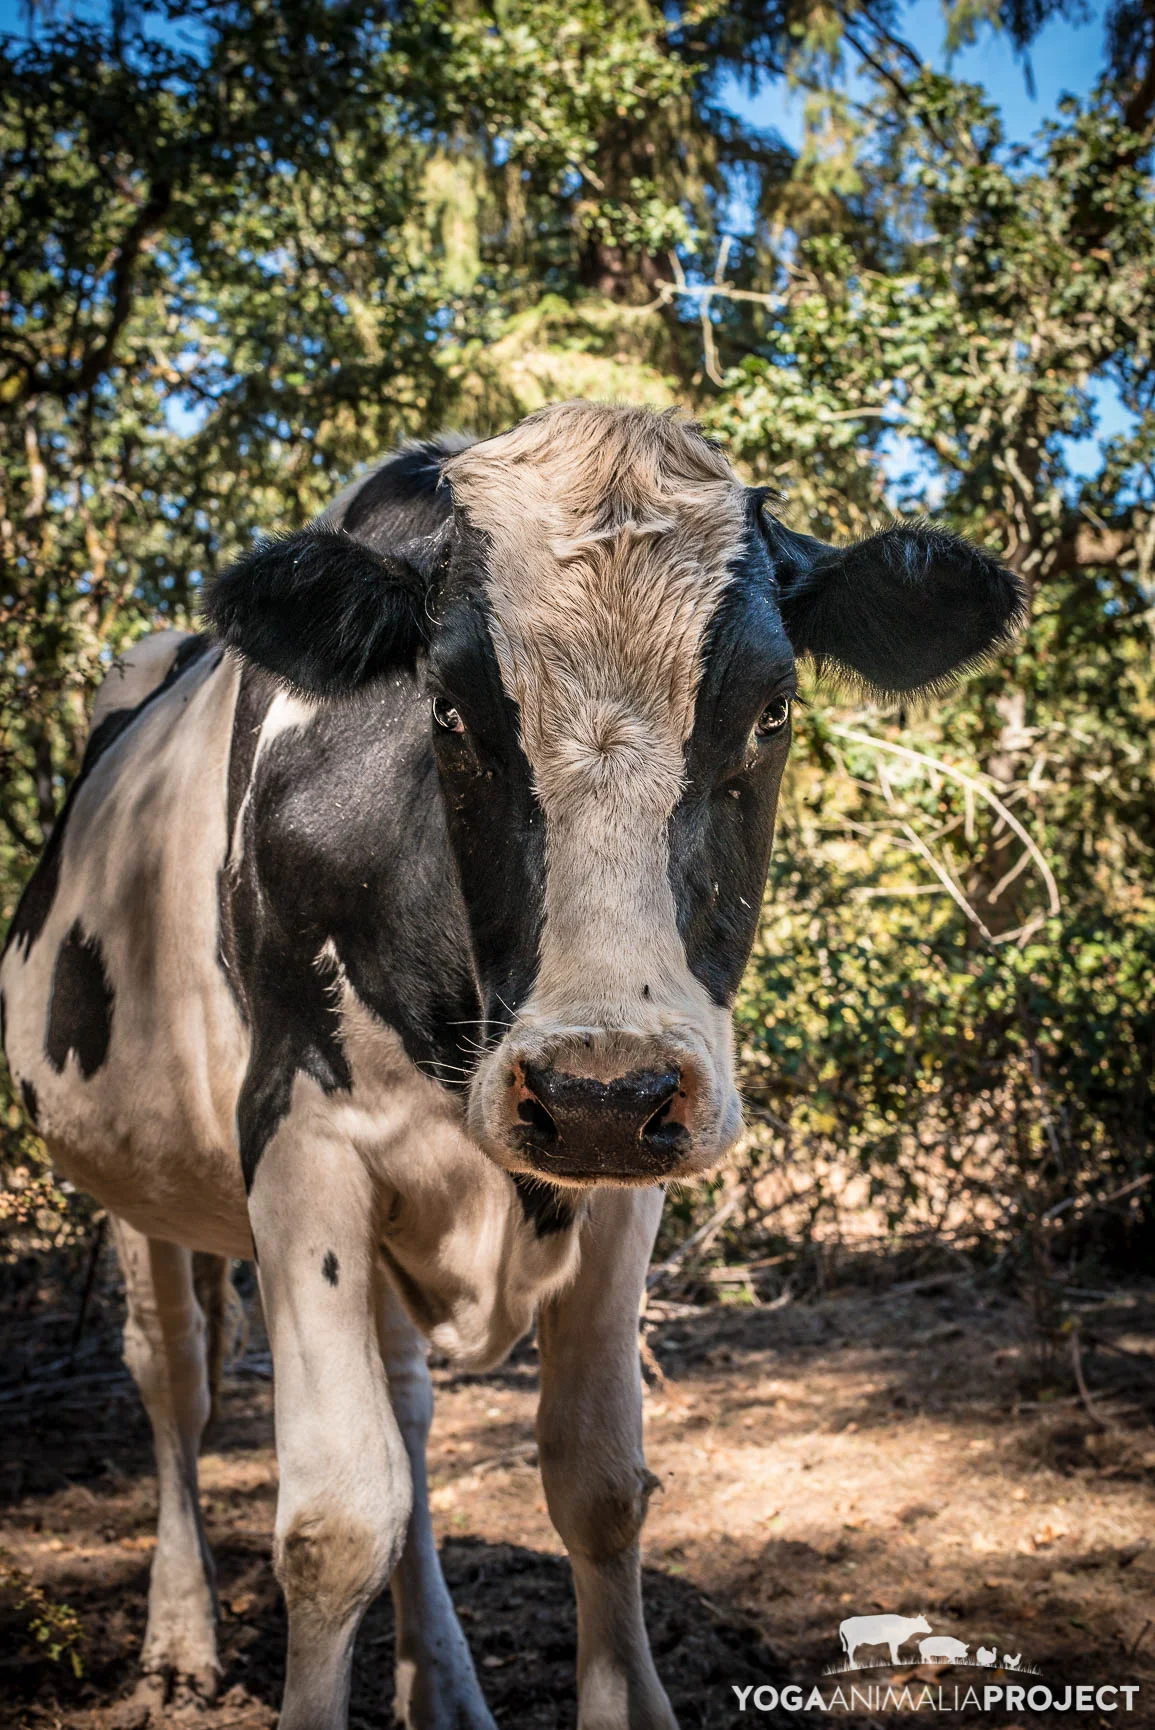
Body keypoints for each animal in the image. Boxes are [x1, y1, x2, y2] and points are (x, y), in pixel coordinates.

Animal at [0, 401, 1023, 1729]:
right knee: (172, 1370)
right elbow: (334, 1518)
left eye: (772, 710)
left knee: (406, 1408)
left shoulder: (631, 1167)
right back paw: (181, 1636)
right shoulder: (300, 1140)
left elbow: (597, 1480)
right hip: (136, 1179)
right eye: (446, 710)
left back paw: (438, 1679)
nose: (594, 1093)